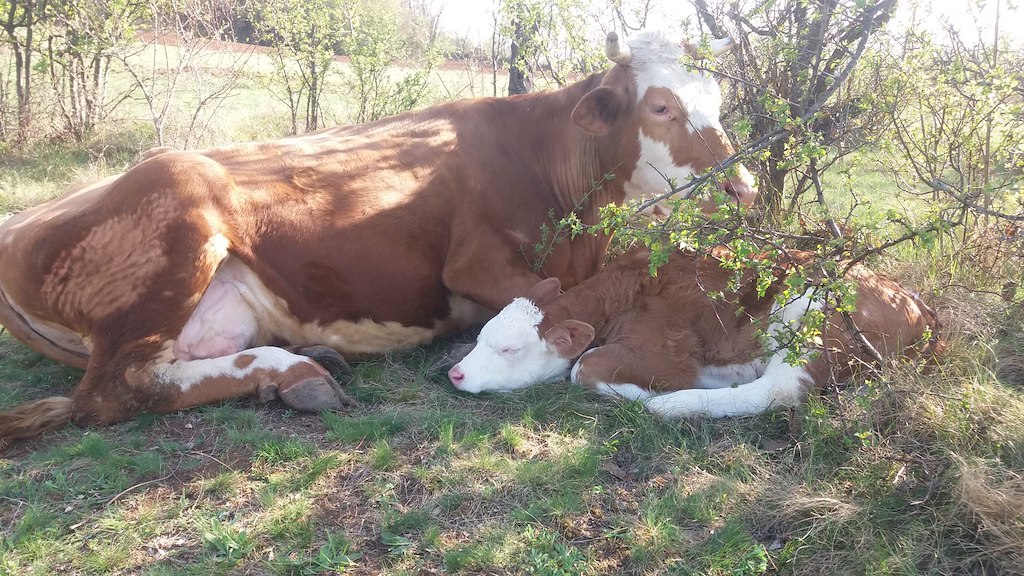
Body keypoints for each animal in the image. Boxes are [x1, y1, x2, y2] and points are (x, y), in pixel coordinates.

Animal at [0, 29, 757, 440]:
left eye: (720, 100)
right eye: (660, 106)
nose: (742, 189)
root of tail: (20, 223)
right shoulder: (472, 265)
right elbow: (545, 297)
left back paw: (305, 362)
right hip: (177, 217)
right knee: (118, 391)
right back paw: (299, 374)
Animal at [448, 247, 942, 416]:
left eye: (509, 349)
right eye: (481, 337)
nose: (455, 373)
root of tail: (911, 299)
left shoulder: (666, 350)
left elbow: (582, 367)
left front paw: (642, 393)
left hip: (811, 316)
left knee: (780, 390)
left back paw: (672, 404)